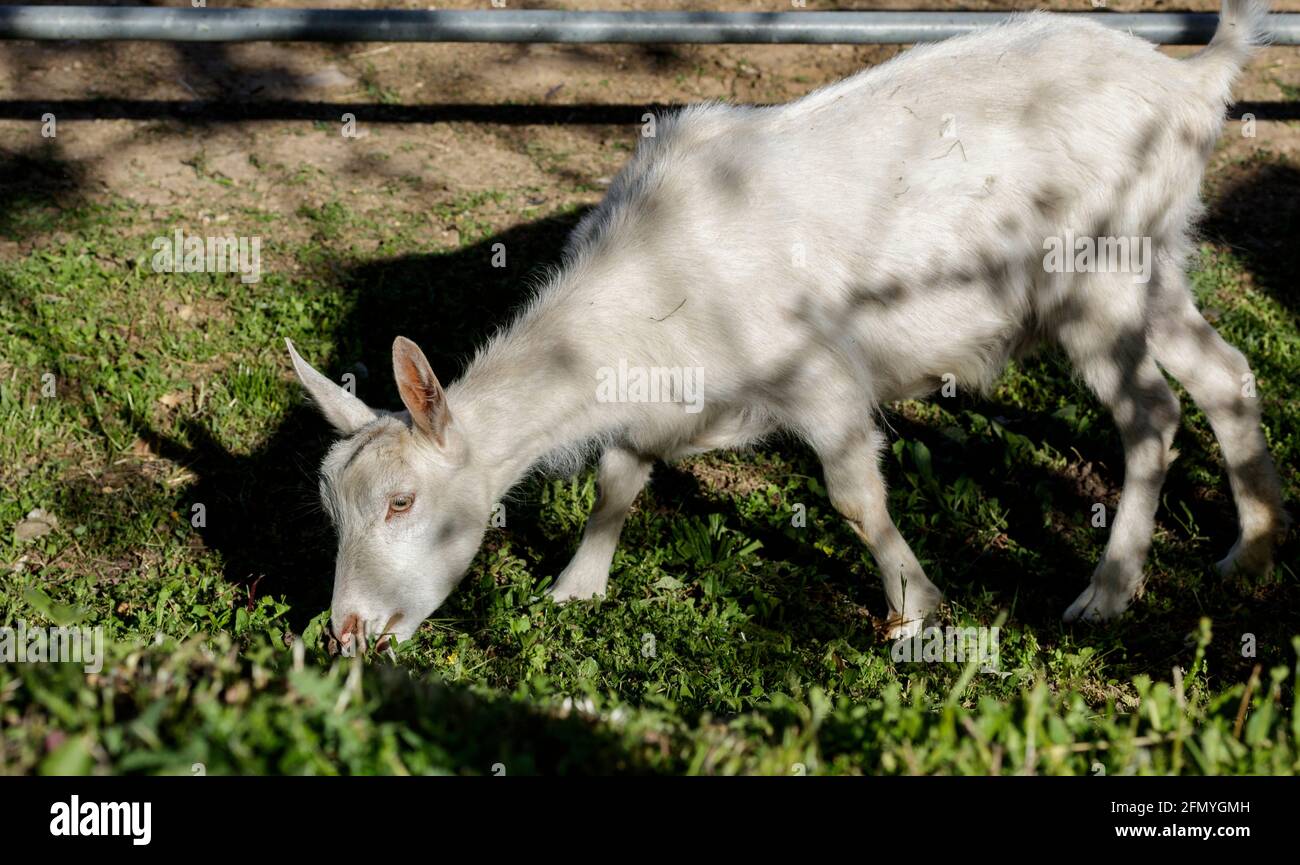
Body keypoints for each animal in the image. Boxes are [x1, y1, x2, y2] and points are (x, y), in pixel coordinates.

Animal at [287, 0, 1286, 651]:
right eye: (331, 505)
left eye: (402, 502)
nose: (345, 632)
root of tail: (1187, 80)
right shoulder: (661, 392)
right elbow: (619, 479)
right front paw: (577, 587)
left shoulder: (822, 379)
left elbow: (854, 498)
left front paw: (917, 607)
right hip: (1157, 257)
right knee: (1224, 374)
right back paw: (1253, 550)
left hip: (1098, 277)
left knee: (1151, 413)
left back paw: (1107, 592)